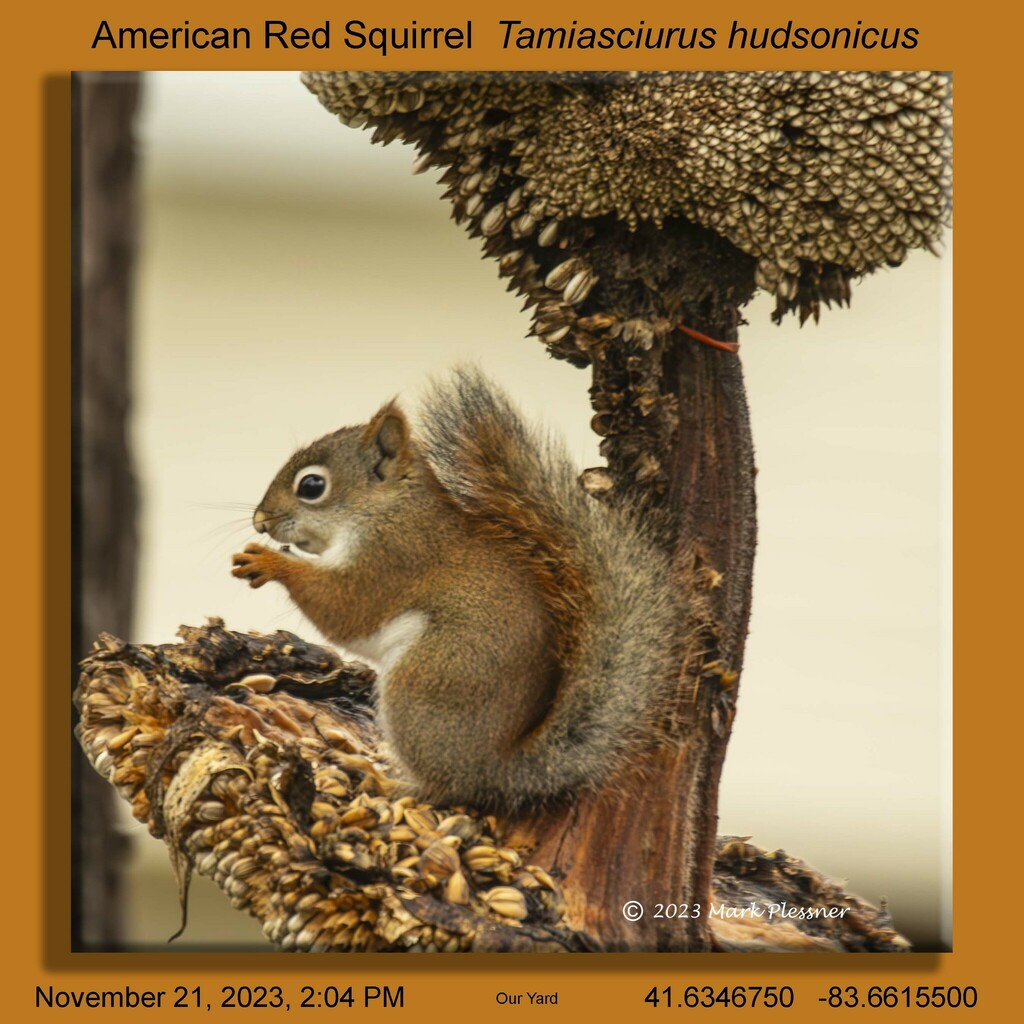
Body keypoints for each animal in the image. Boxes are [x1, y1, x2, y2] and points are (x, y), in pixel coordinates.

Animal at [231, 367, 682, 810]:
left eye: (311, 486)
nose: (260, 521)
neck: (387, 508)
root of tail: (498, 769)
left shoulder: (392, 557)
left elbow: (345, 605)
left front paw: (268, 561)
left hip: (423, 684)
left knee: (441, 790)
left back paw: (383, 779)